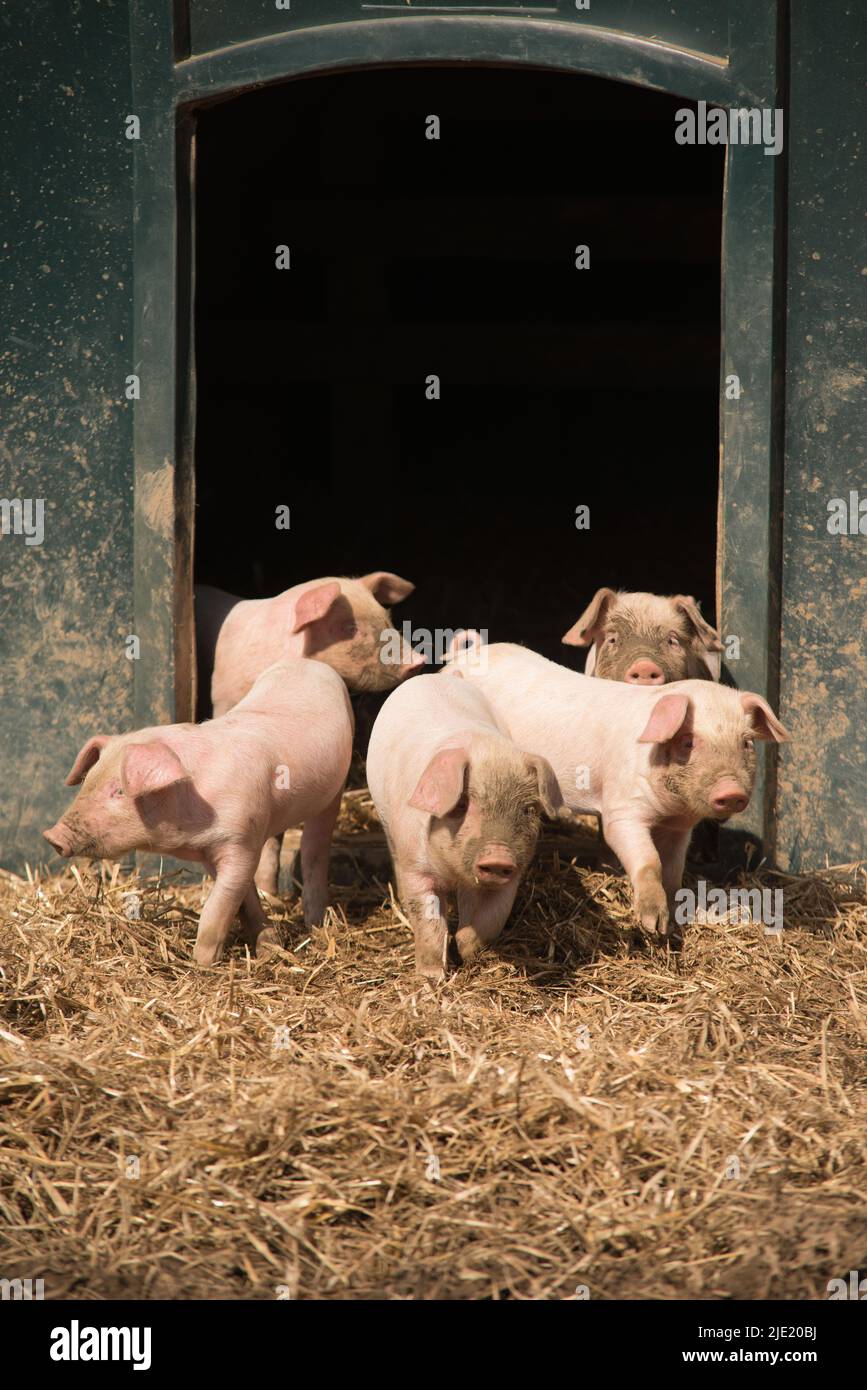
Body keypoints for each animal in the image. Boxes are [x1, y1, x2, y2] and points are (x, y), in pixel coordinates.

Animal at [42, 658, 353, 966]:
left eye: (119, 790)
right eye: (88, 780)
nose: (52, 836)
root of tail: (310, 662)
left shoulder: (239, 841)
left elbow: (217, 910)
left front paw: (200, 965)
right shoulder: (212, 851)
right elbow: (245, 901)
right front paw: (267, 946)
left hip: (336, 786)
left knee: (315, 848)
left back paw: (315, 923)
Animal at [366, 669, 570, 980]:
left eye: (528, 809)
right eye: (462, 805)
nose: (498, 855)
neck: (452, 874)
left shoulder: (513, 874)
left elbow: (488, 922)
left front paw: (467, 955)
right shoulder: (415, 866)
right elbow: (429, 924)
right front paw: (432, 977)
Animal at [445, 634, 789, 941]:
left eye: (746, 743)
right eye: (689, 741)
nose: (731, 791)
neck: (672, 807)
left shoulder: (680, 828)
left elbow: (673, 872)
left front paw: (673, 921)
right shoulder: (623, 810)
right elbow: (648, 860)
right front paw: (652, 925)